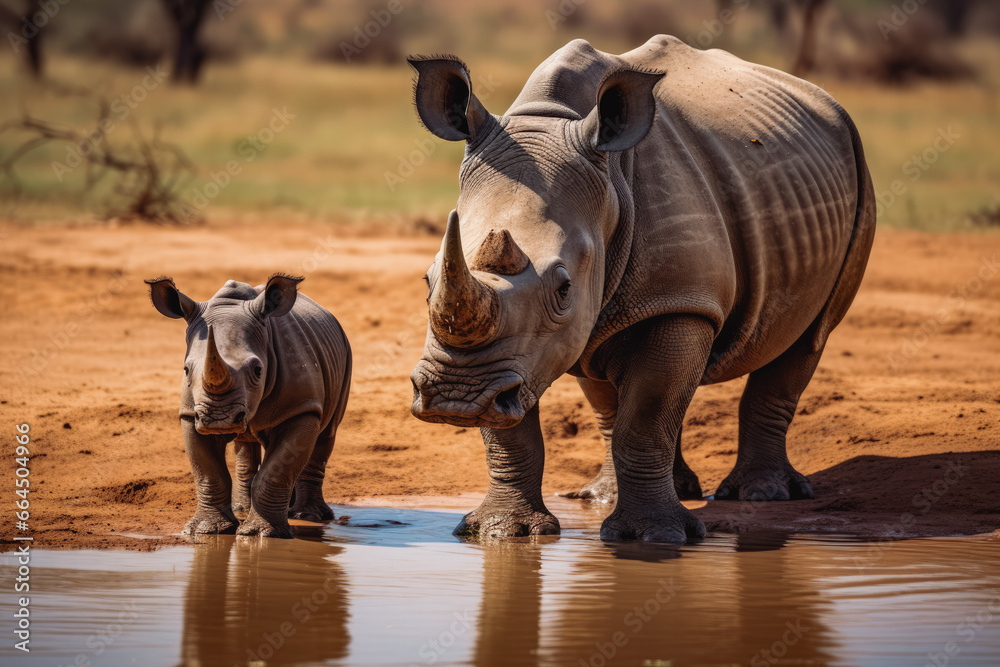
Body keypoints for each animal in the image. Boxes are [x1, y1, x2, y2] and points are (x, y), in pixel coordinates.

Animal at [146, 275, 352, 538]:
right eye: (186, 369)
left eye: (257, 370)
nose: (218, 419)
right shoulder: (190, 413)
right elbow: (207, 472)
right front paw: (205, 530)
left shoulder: (301, 409)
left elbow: (276, 471)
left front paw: (262, 534)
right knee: (245, 443)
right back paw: (243, 507)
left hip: (342, 356)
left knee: (327, 432)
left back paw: (308, 516)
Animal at [408, 36, 876, 543]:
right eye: (428, 280)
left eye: (564, 289)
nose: (455, 398)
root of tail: (824, 100)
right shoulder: (511, 356)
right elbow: (511, 429)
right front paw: (502, 533)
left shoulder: (679, 302)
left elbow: (647, 417)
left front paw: (656, 538)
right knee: (603, 382)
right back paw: (611, 496)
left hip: (856, 169)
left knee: (809, 335)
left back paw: (764, 496)